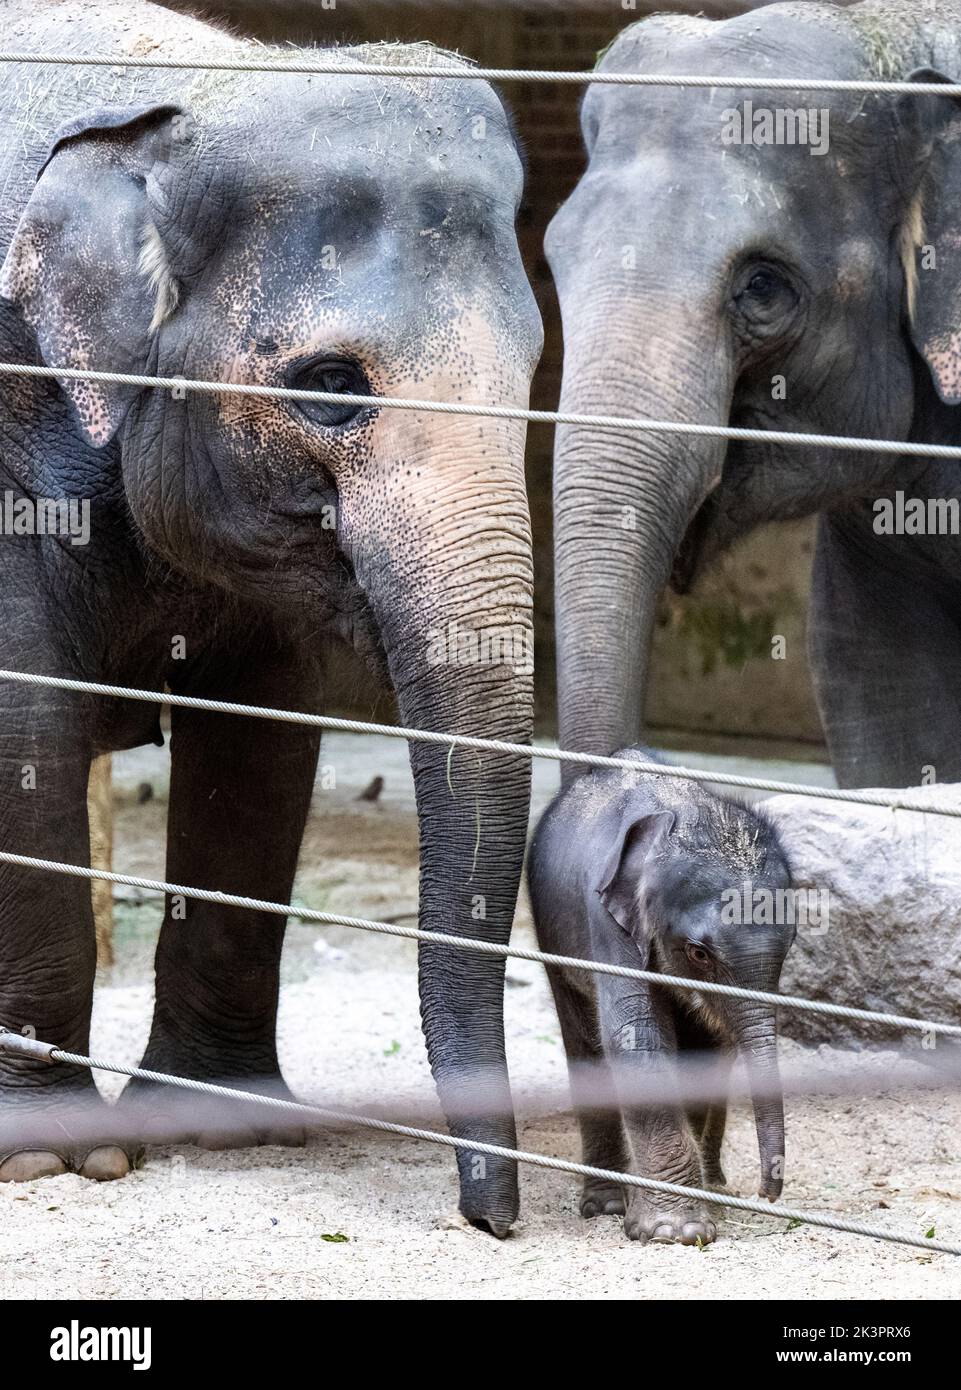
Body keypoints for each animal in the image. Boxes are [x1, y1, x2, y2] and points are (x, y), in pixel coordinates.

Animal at [0, 0, 542, 1237]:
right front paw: (48, 1157)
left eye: (536, 369)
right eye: (332, 382)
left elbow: (261, 742)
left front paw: (222, 1128)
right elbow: (24, 720)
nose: (493, 1216)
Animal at [527, 748, 793, 1244]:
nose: (767, 1194)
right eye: (698, 953)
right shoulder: (606, 918)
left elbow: (704, 1052)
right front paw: (677, 1232)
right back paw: (606, 1205)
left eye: (789, 947)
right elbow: (635, 1036)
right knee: (583, 1038)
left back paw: (713, 1187)